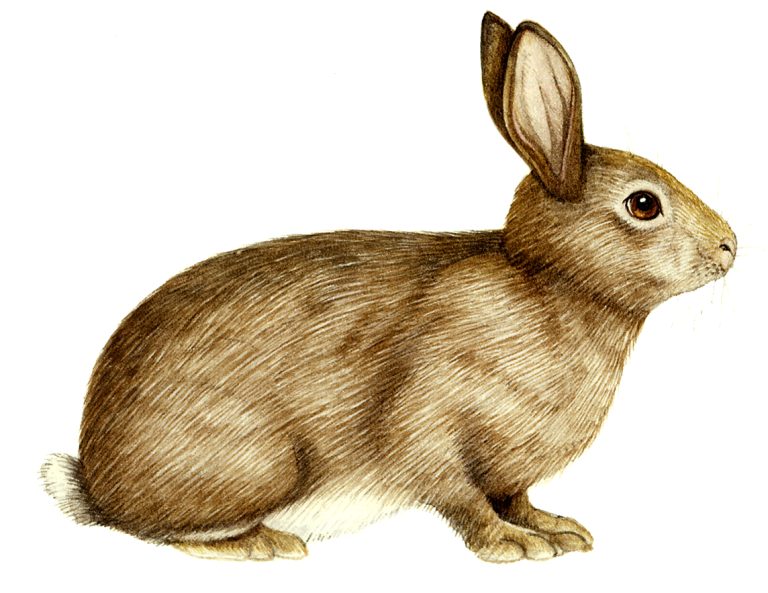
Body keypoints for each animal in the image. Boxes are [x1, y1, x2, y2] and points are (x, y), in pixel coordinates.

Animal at [41, 11, 736, 563]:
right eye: (644, 204)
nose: (732, 246)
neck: (552, 286)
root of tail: (95, 484)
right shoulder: (429, 423)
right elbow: (460, 496)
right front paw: (514, 547)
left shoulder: (508, 473)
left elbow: (515, 496)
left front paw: (558, 530)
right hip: (257, 465)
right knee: (165, 534)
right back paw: (264, 545)